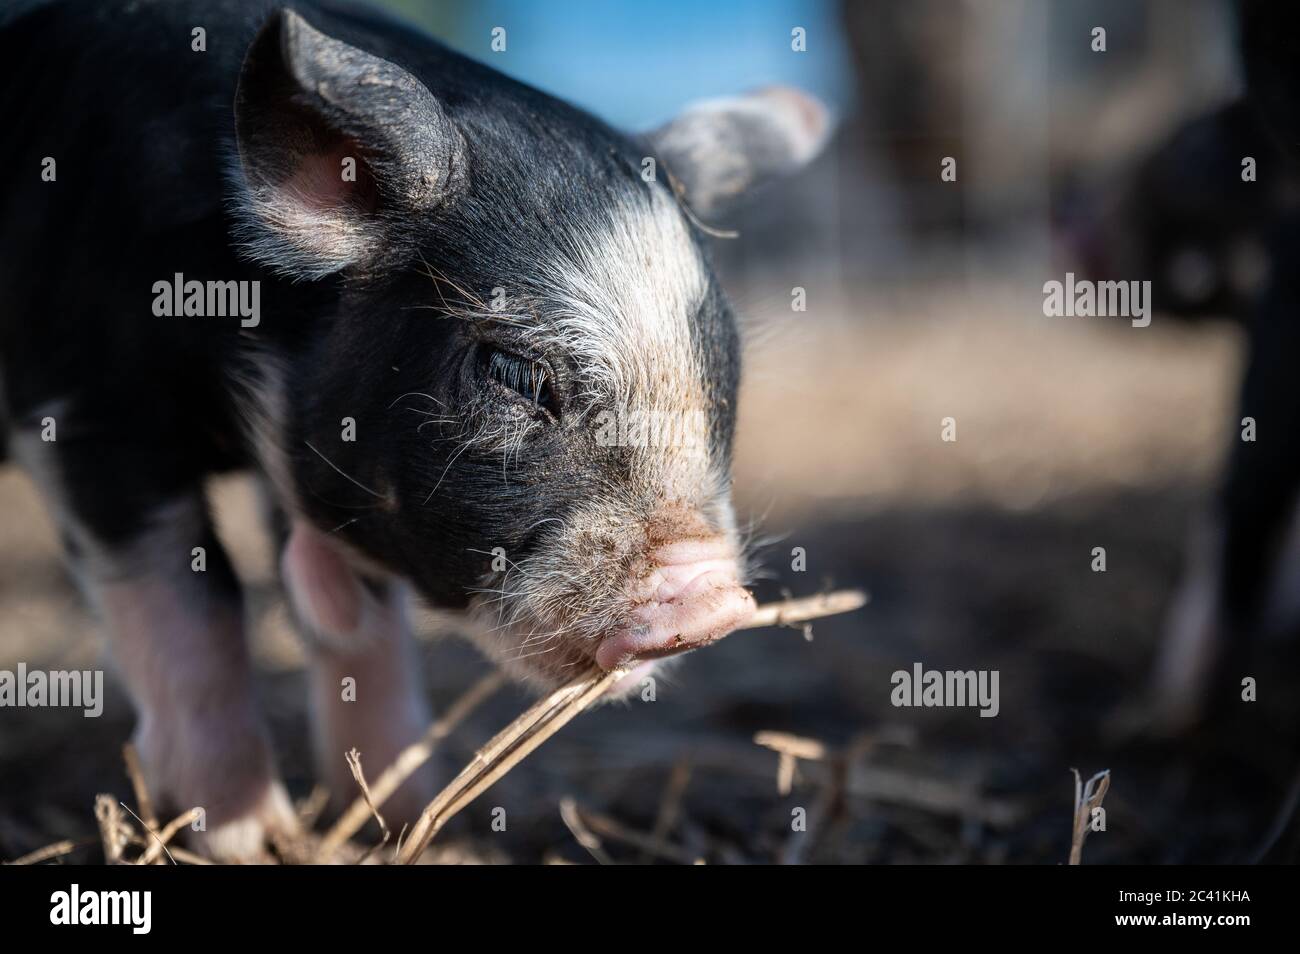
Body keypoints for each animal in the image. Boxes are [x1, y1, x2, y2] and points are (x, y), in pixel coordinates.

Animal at [0, 0, 829, 859]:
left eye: (722, 371)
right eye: (514, 373)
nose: (714, 604)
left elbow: (363, 628)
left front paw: (404, 821)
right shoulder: (78, 406)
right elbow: (191, 606)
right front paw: (253, 842)